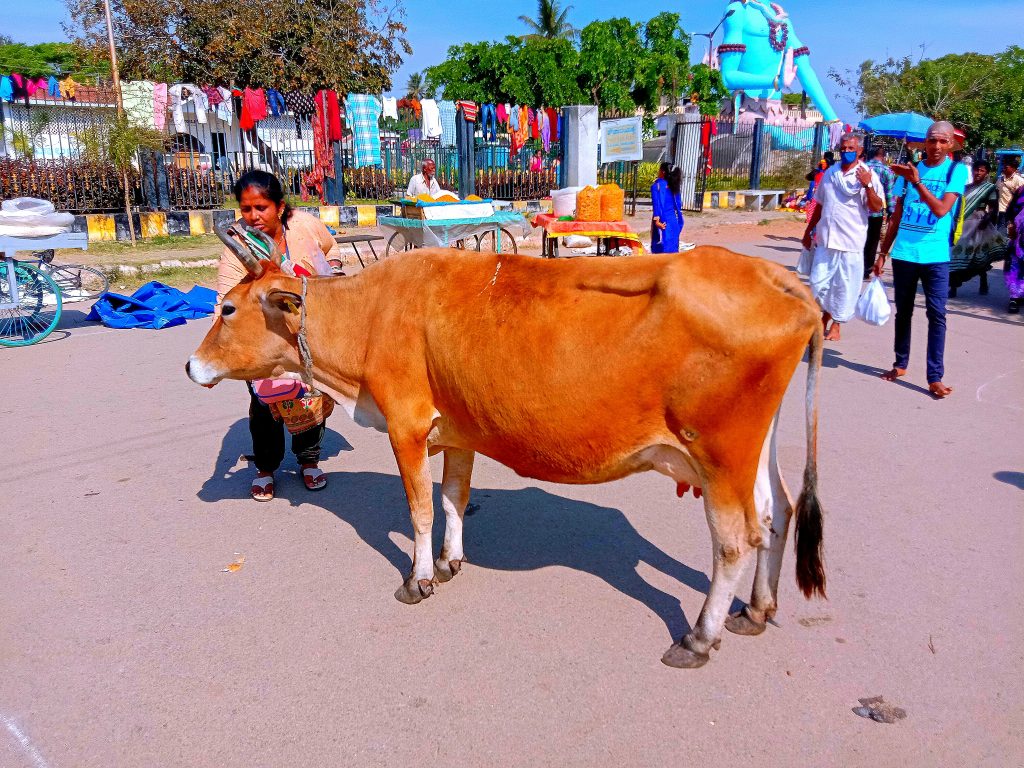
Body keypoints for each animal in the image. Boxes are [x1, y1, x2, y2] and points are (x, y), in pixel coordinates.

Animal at [186, 233, 826, 669]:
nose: (190, 366)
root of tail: (772, 274)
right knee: (778, 512)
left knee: (735, 539)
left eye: (227, 308)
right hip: (750, 453)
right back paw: (756, 611)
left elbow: (420, 508)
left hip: (719, 456)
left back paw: (699, 636)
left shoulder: (406, 426)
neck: (371, 312)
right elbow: (452, 498)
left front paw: (419, 578)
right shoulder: (456, 433)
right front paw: (450, 562)